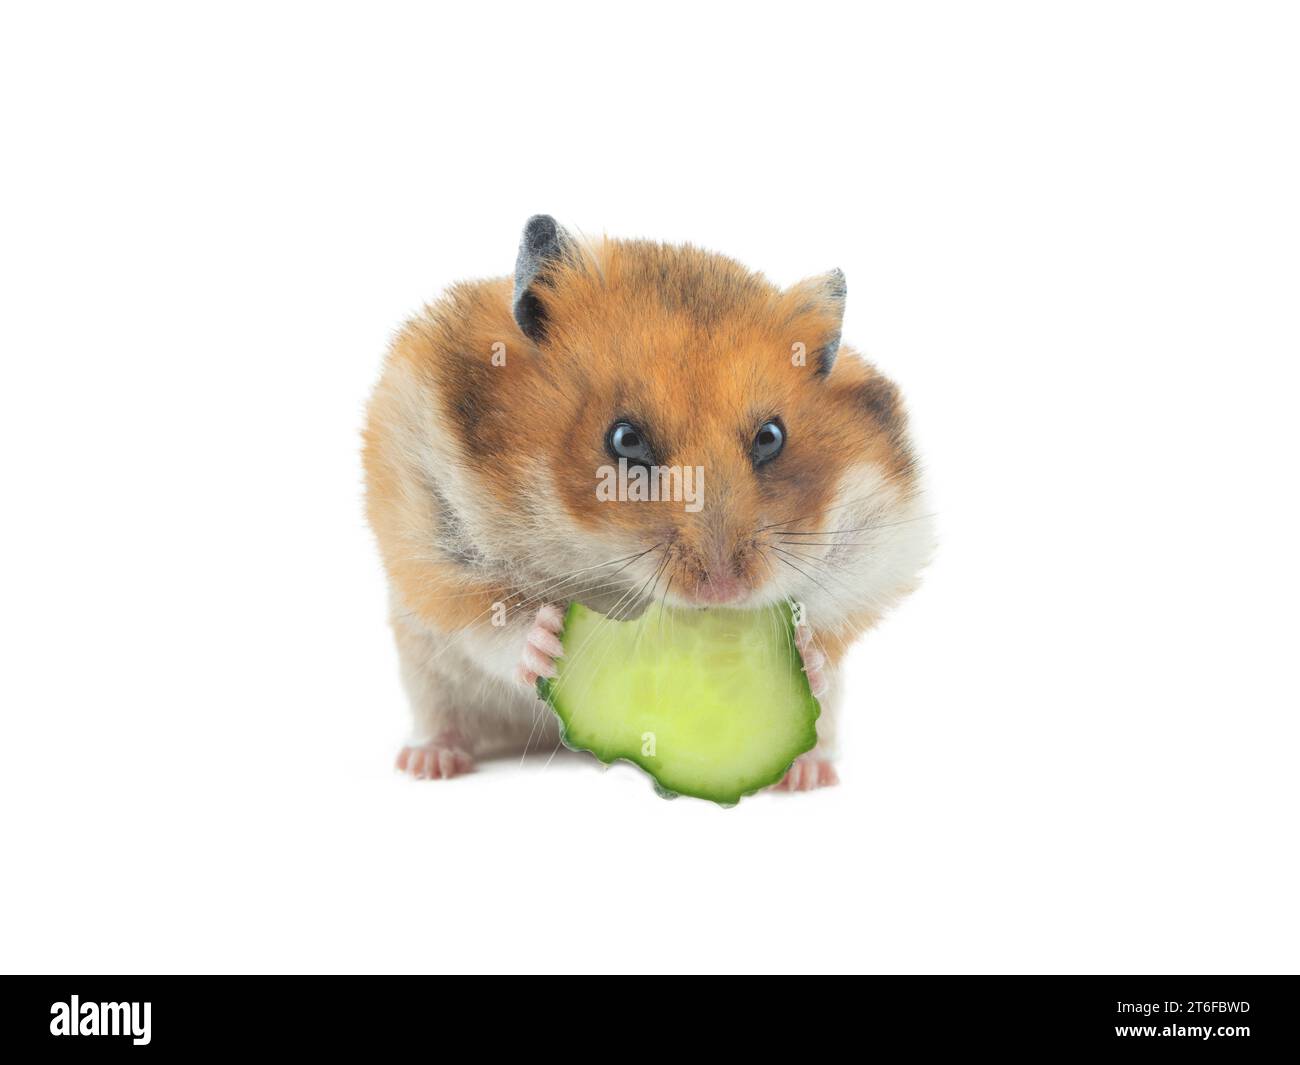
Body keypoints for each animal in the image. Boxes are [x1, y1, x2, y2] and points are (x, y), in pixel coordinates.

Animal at [362, 216, 933, 791]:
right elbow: (492, 619)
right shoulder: (437, 543)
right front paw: (548, 639)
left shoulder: (879, 547)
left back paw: (807, 774)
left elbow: (832, 625)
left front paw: (808, 656)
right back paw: (429, 763)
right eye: (626, 440)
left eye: (771, 438)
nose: (724, 593)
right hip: (424, 666)